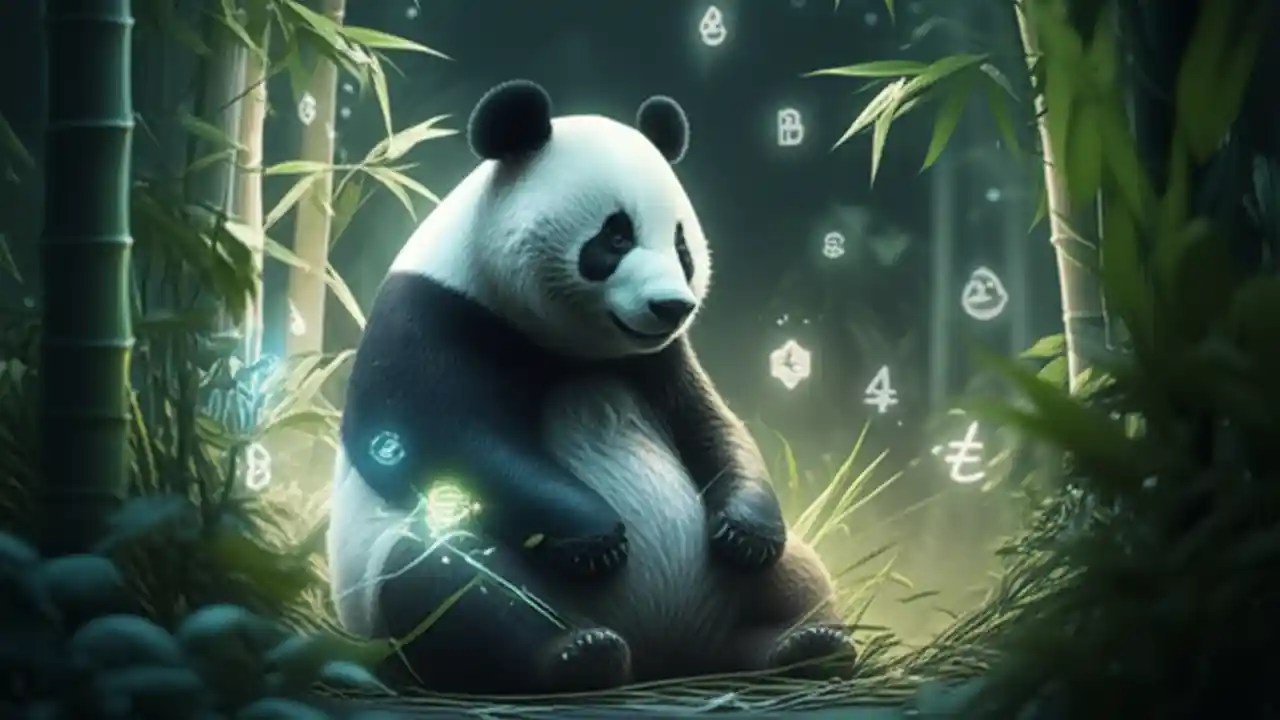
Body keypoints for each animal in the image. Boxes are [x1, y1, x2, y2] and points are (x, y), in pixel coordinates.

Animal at [327, 79, 856, 694]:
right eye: (615, 236)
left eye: (681, 246)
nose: (673, 306)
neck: (569, 345)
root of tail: (666, 653)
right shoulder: (430, 314)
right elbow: (438, 438)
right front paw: (595, 536)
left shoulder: (660, 359)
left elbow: (713, 425)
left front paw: (744, 530)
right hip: (391, 578)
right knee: (452, 581)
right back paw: (577, 654)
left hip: (758, 583)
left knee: (799, 574)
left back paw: (803, 646)